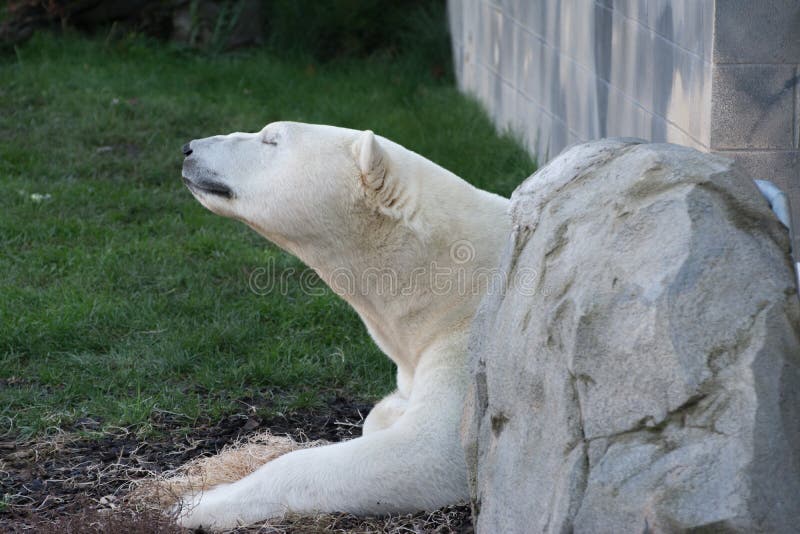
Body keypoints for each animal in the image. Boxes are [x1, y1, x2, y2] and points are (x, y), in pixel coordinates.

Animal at [177, 121, 511, 529]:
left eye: (271, 138)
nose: (189, 148)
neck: (447, 279)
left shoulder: (471, 346)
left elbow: (424, 452)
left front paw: (201, 502)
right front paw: (393, 408)